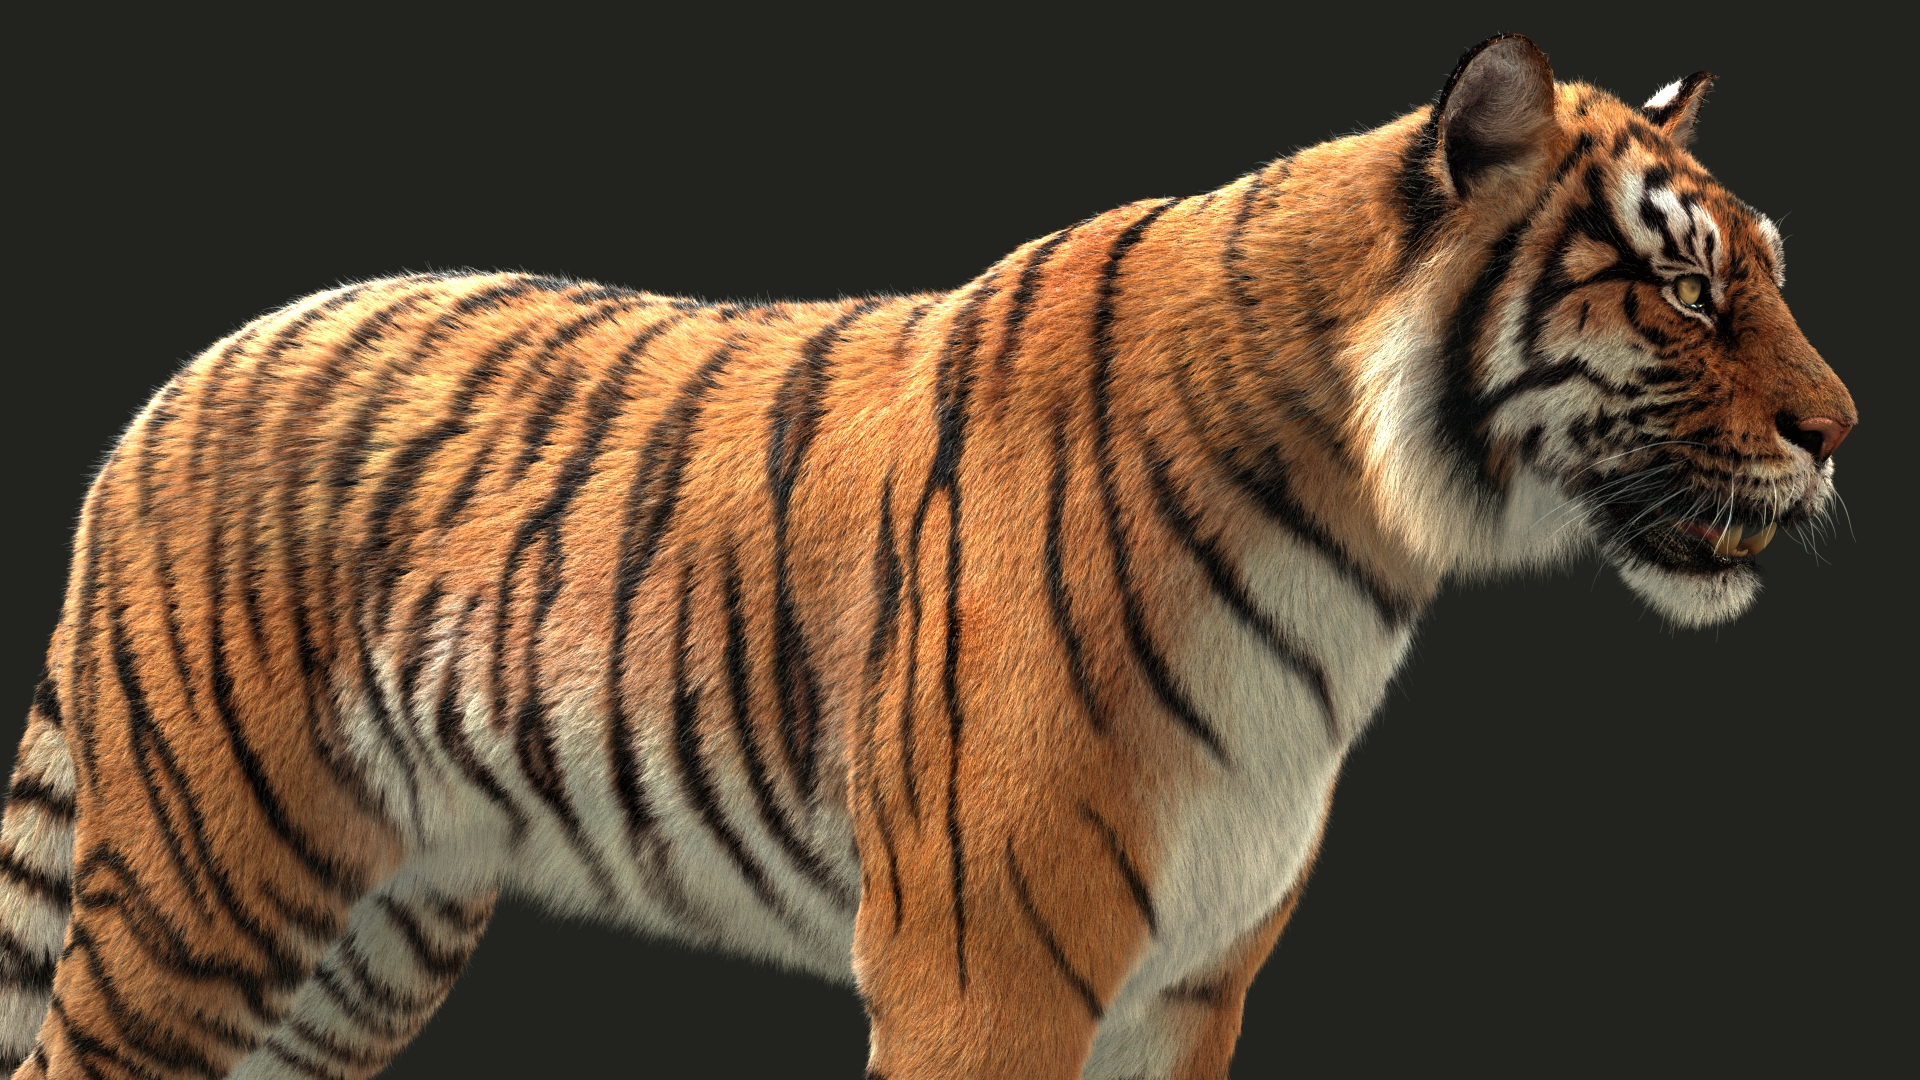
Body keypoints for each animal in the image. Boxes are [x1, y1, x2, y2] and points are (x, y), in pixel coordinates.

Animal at [0, 32, 1855, 1080]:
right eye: (1684, 287)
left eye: (1757, 268)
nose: (1844, 431)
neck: (1363, 550)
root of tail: (176, 383)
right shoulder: (983, 968)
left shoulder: (1190, 986)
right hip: (205, 897)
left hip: (371, 936)